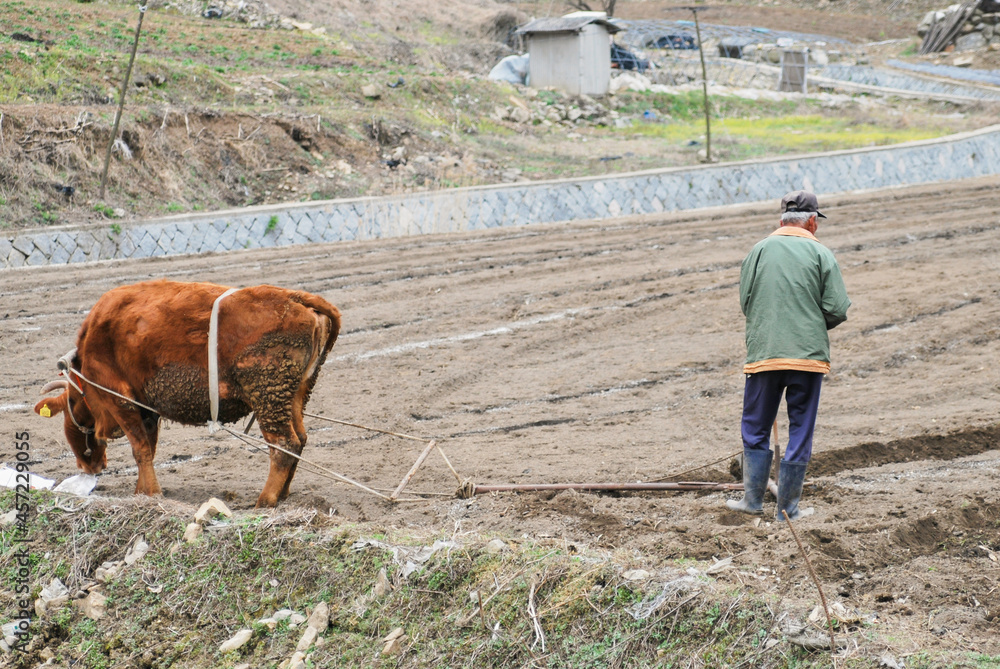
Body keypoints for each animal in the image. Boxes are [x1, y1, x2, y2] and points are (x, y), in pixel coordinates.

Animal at [34, 280, 341, 508]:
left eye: (70, 407)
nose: (89, 467)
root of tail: (295, 297)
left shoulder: (121, 400)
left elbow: (140, 448)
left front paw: (152, 493)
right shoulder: (147, 408)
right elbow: (149, 448)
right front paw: (141, 492)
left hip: (268, 396)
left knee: (284, 444)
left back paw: (264, 501)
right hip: (295, 395)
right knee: (300, 440)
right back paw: (283, 495)